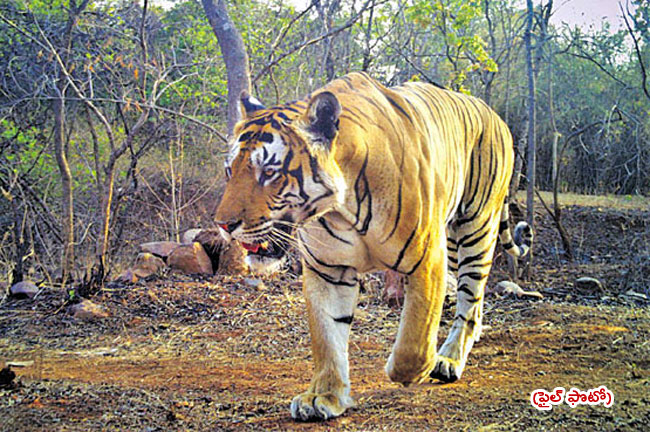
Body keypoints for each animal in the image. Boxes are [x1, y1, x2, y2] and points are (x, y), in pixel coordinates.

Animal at [215, 72, 532, 421]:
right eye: (230, 171)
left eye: (270, 172)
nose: (223, 225)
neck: (342, 210)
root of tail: (495, 115)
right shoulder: (328, 270)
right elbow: (327, 338)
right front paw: (323, 396)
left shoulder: (427, 258)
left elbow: (414, 338)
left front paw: (408, 372)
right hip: (453, 244)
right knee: (471, 298)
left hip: (476, 228)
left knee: (470, 297)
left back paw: (447, 360)